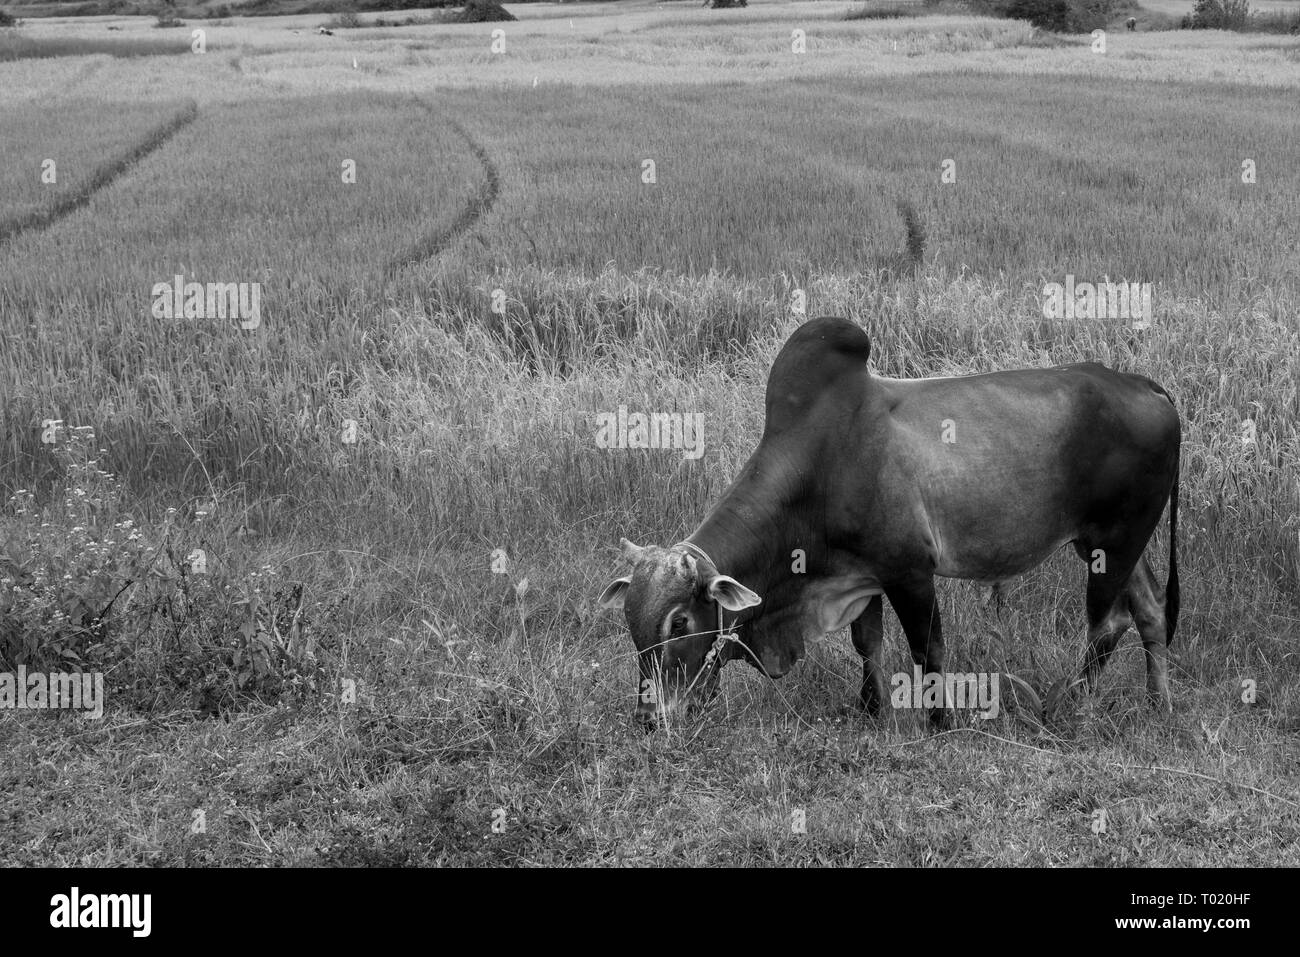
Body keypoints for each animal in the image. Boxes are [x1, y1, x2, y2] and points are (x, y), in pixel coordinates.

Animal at [599, 317, 1180, 730]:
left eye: (679, 623)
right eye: (630, 625)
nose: (649, 718)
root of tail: (1142, 383)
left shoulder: (910, 572)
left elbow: (928, 649)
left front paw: (941, 722)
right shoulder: (862, 575)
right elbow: (868, 643)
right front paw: (872, 709)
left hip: (1114, 540)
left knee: (1108, 623)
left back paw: (1065, 707)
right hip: (1114, 542)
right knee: (1149, 612)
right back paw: (1159, 704)